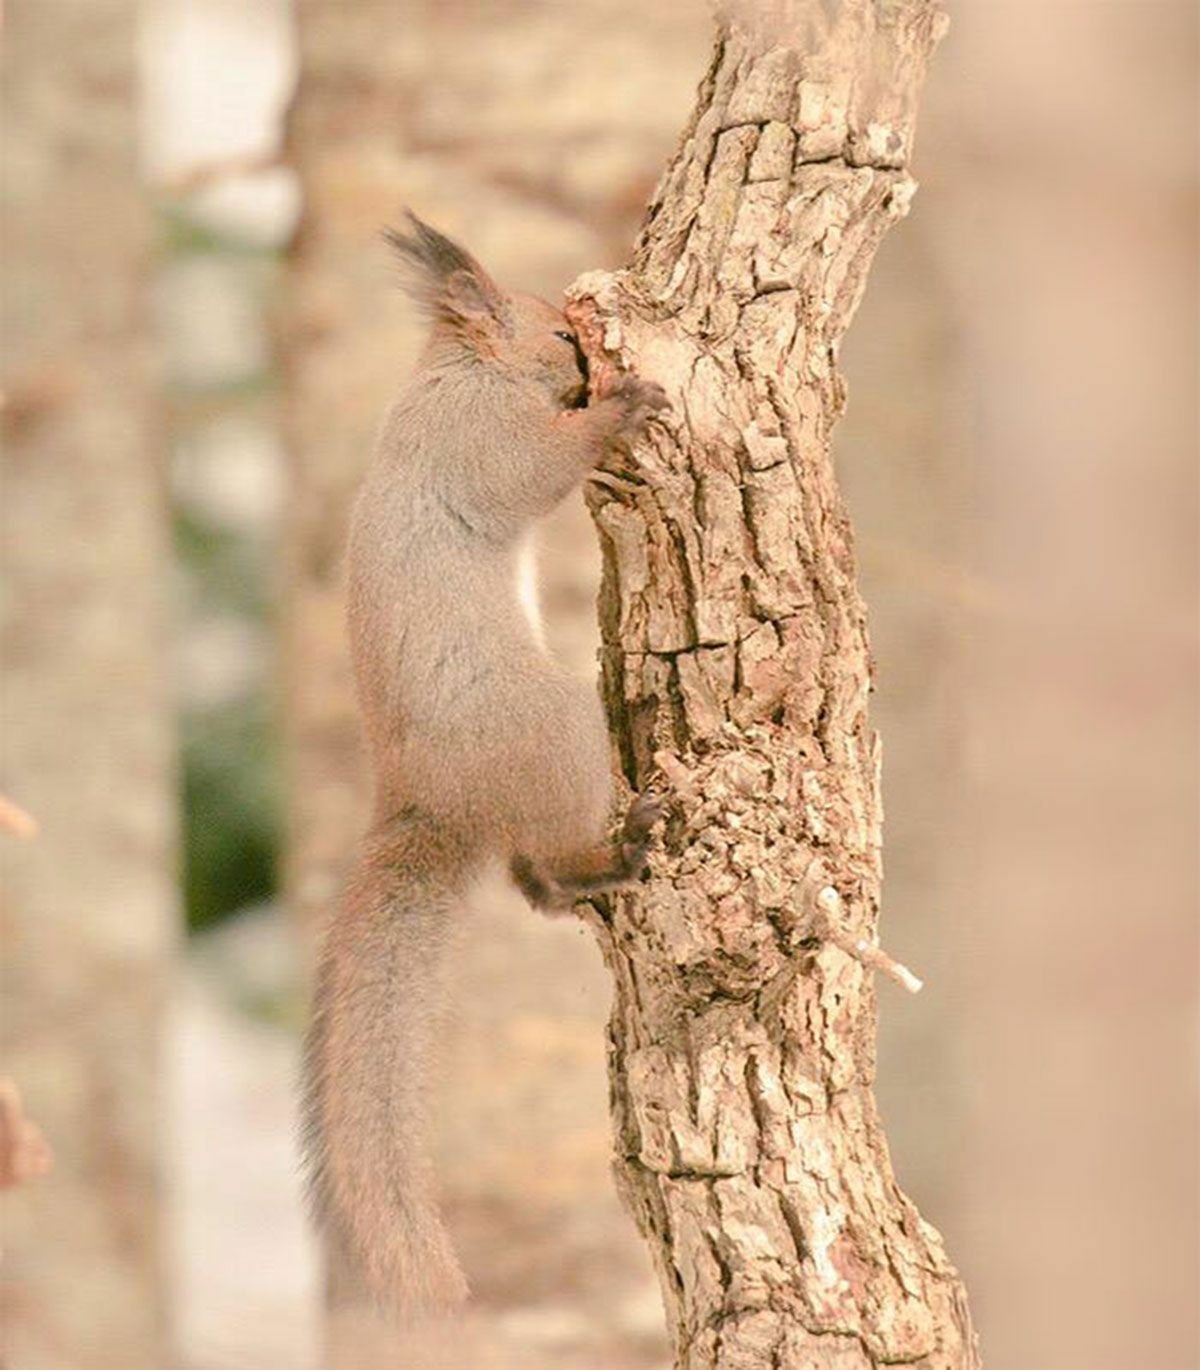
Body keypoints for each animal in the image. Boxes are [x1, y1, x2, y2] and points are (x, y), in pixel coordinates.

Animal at [301, 213, 668, 1315]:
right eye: (557, 335)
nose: (593, 366)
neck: (458, 368)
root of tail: (431, 803)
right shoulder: (481, 437)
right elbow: (531, 473)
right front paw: (621, 413)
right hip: (554, 728)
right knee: (553, 860)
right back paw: (618, 850)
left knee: (530, 878)